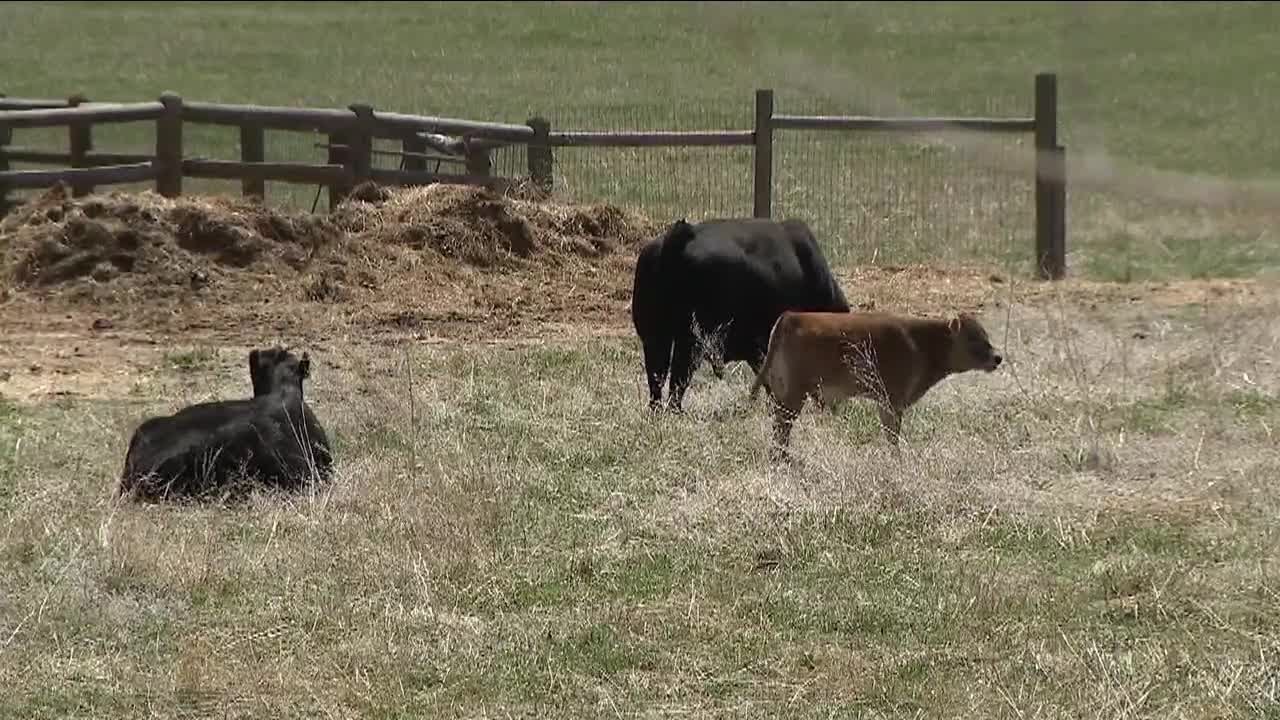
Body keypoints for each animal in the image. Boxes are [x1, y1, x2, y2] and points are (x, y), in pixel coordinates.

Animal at [748, 310, 1003, 461]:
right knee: (782, 427)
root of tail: (792, 315)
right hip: (793, 395)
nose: (997, 358)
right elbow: (892, 437)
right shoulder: (891, 402)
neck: (924, 344)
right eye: (973, 338)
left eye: (986, 336)